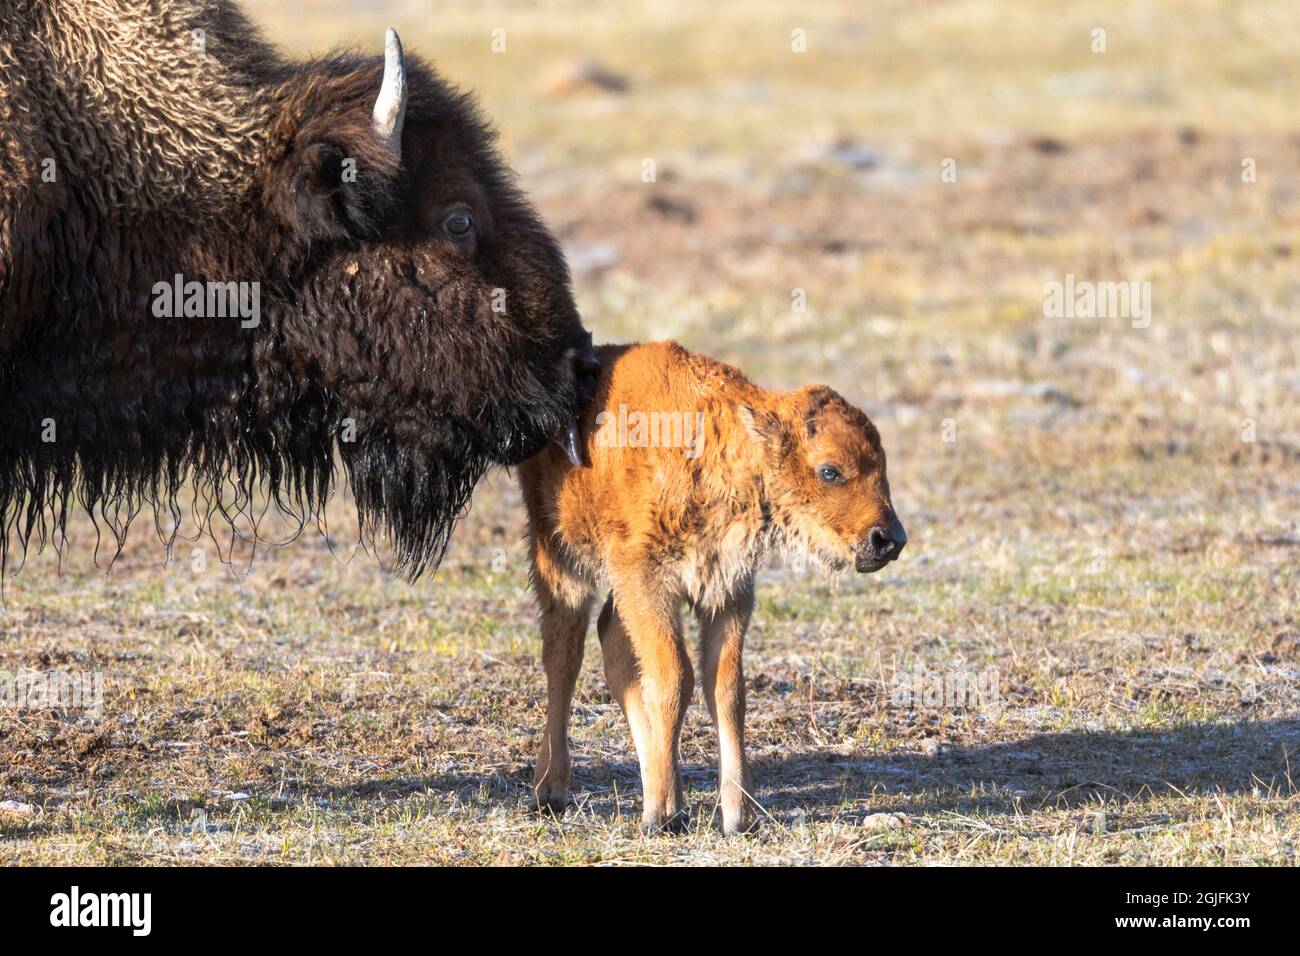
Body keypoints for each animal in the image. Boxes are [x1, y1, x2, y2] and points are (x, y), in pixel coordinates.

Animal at [519, 341, 906, 834]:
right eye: (830, 471)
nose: (889, 539)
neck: (727, 451)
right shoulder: (649, 583)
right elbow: (673, 678)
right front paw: (663, 815)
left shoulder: (728, 591)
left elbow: (725, 689)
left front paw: (739, 815)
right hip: (559, 558)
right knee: (564, 654)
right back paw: (550, 791)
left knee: (611, 639)